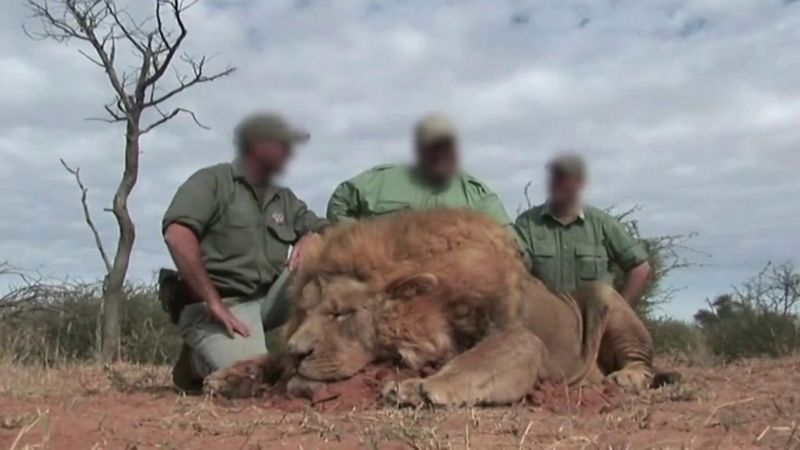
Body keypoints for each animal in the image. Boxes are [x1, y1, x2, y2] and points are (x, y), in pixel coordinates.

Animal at [205, 209, 661, 406]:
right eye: (304, 313)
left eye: (341, 313)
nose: (300, 352)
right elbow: (268, 358)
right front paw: (231, 377)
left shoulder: (521, 337)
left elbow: (479, 359)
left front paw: (416, 386)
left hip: (605, 296)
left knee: (642, 361)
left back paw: (627, 379)